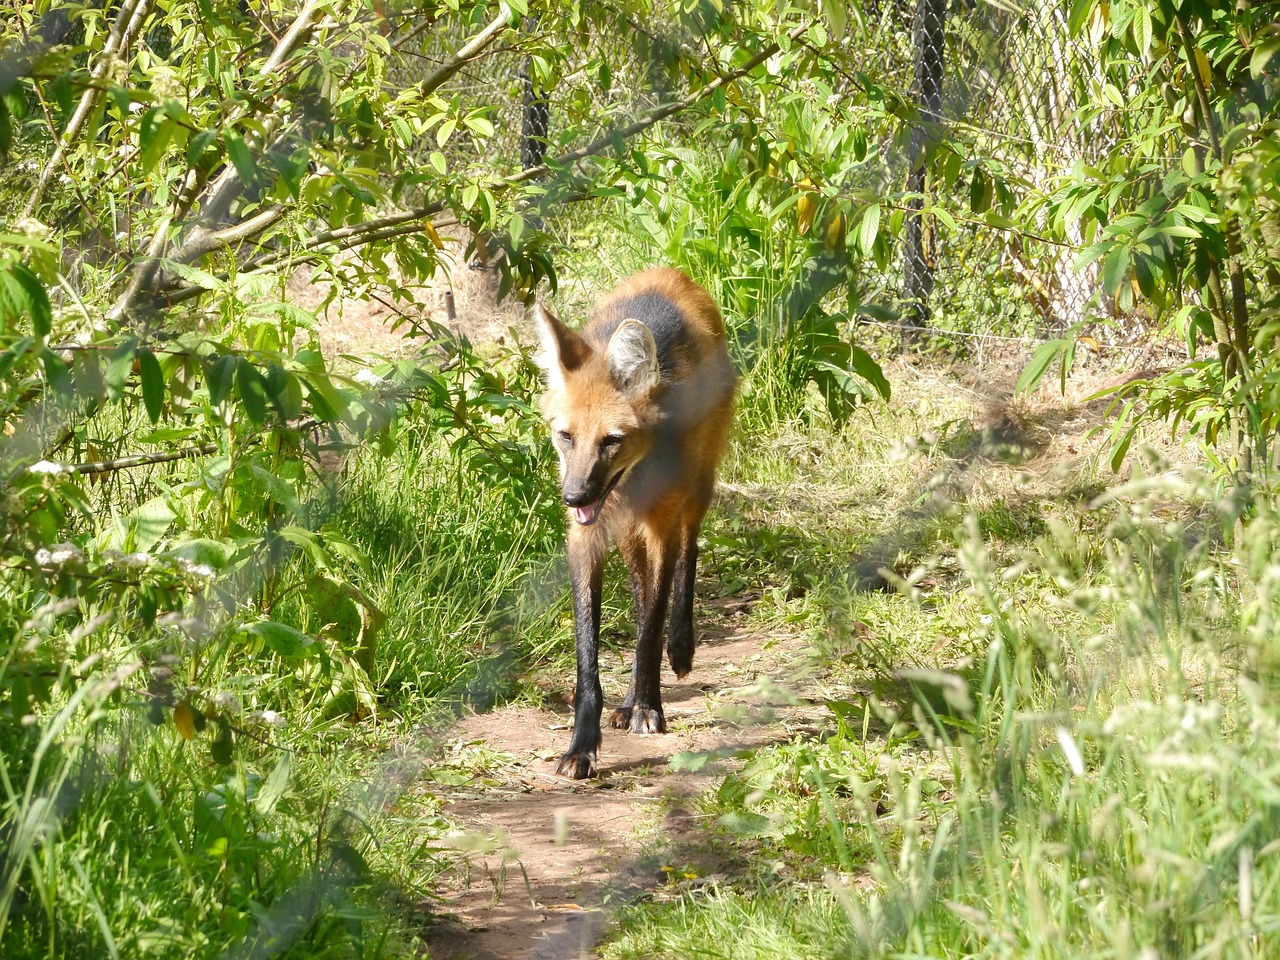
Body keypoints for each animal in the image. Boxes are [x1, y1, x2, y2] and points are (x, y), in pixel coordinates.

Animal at [533, 268, 736, 778]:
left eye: (612, 440)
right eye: (565, 436)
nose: (574, 496)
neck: (635, 473)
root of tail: (671, 274)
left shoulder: (661, 520)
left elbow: (649, 628)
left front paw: (648, 706)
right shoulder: (587, 533)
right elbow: (590, 651)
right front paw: (582, 746)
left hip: (696, 485)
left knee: (688, 550)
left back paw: (679, 649)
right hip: (626, 528)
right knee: (642, 587)